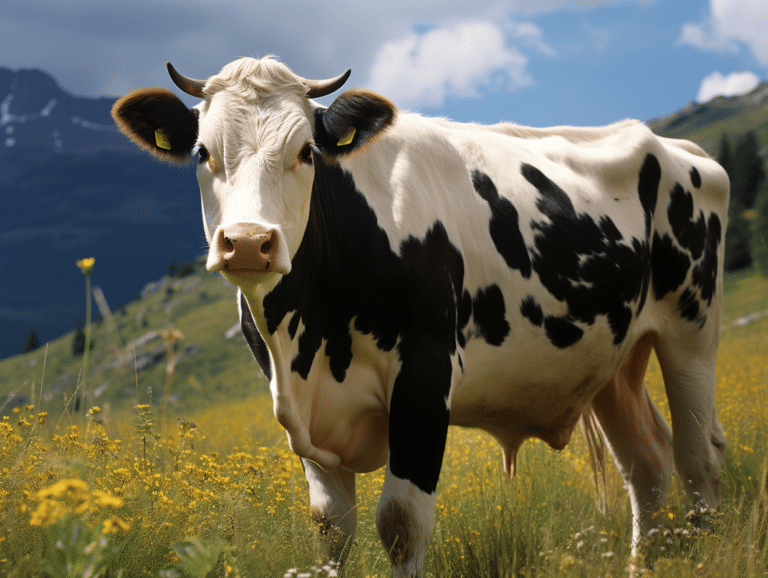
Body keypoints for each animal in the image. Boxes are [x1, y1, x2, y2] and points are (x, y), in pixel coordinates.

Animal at [112, 56, 728, 577]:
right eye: (202, 153)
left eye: (307, 152)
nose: (247, 243)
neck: (309, 341)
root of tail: (680, 148)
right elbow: (330, 530)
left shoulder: (425, 378)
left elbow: (402, 523)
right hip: (610, 358)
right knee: (647, 466)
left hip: (692, 333)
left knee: (698, 461)